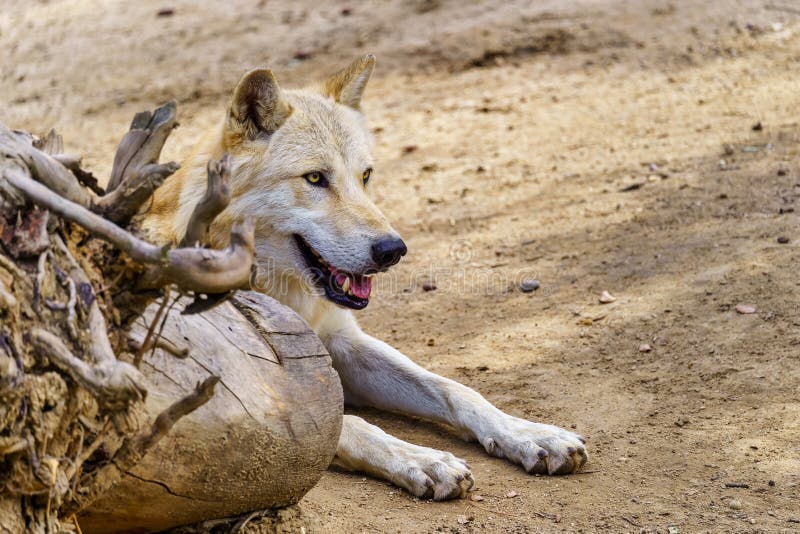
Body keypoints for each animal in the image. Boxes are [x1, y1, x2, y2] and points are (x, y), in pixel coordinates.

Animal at [141, 55, 587, 500]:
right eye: (315, 178)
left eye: (366, 176)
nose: (392, 250)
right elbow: (348, 422)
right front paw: (422, 459)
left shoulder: (343, 342)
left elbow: (455, 388)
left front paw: (531, 435)